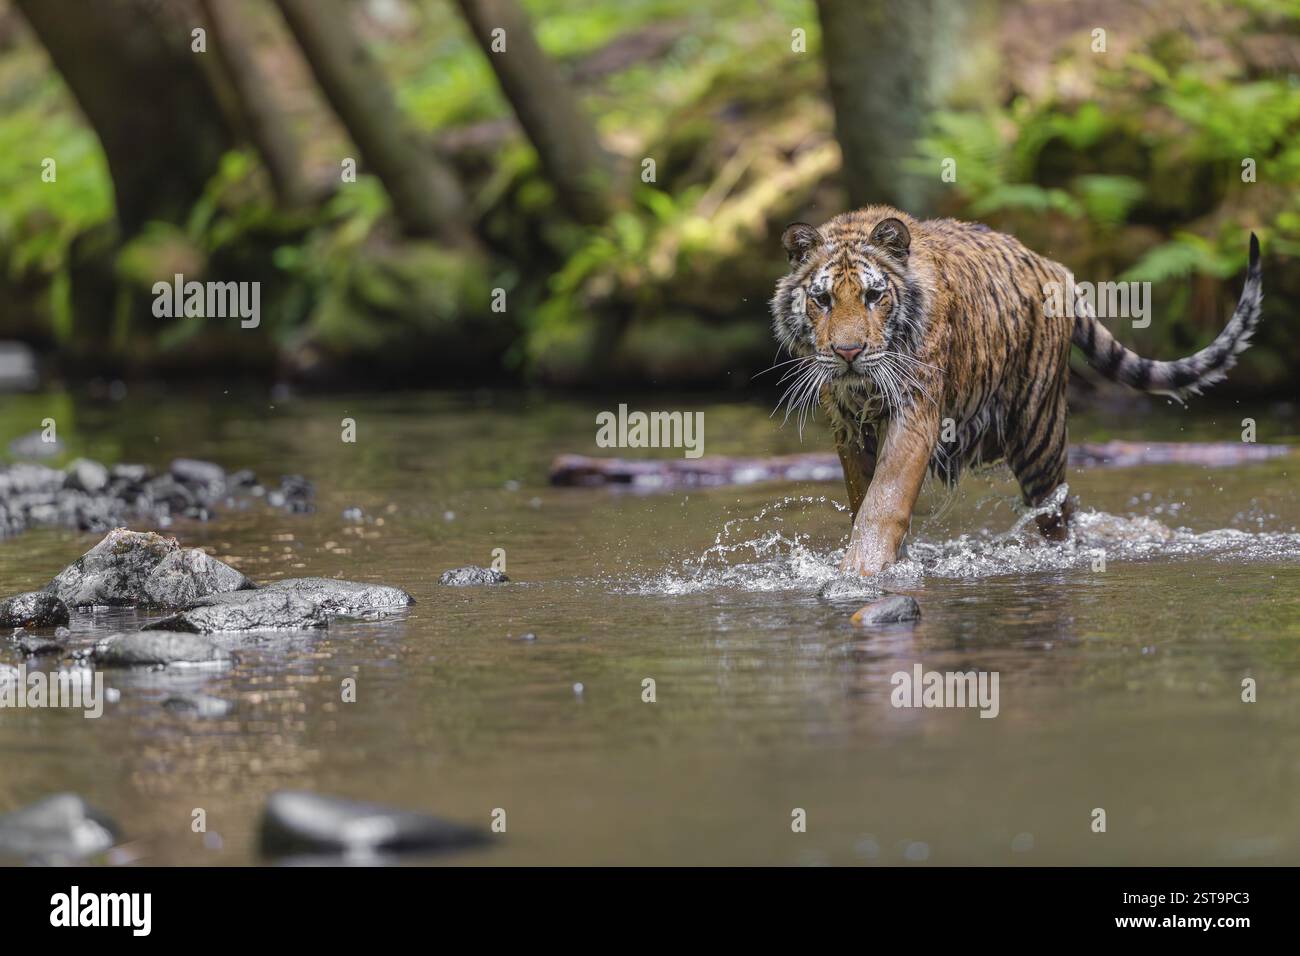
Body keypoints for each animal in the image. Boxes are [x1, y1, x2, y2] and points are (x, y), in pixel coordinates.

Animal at [768, 205, 1263, 576]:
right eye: (823, 299)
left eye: (873, 296)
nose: (848, 352)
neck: (863, 388)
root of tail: (1054, 265)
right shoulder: (849, 427)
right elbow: (861, 497)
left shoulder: (915, 411)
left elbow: (883, 500)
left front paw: (860, 573)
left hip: (1039, 437)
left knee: (1059, 514)